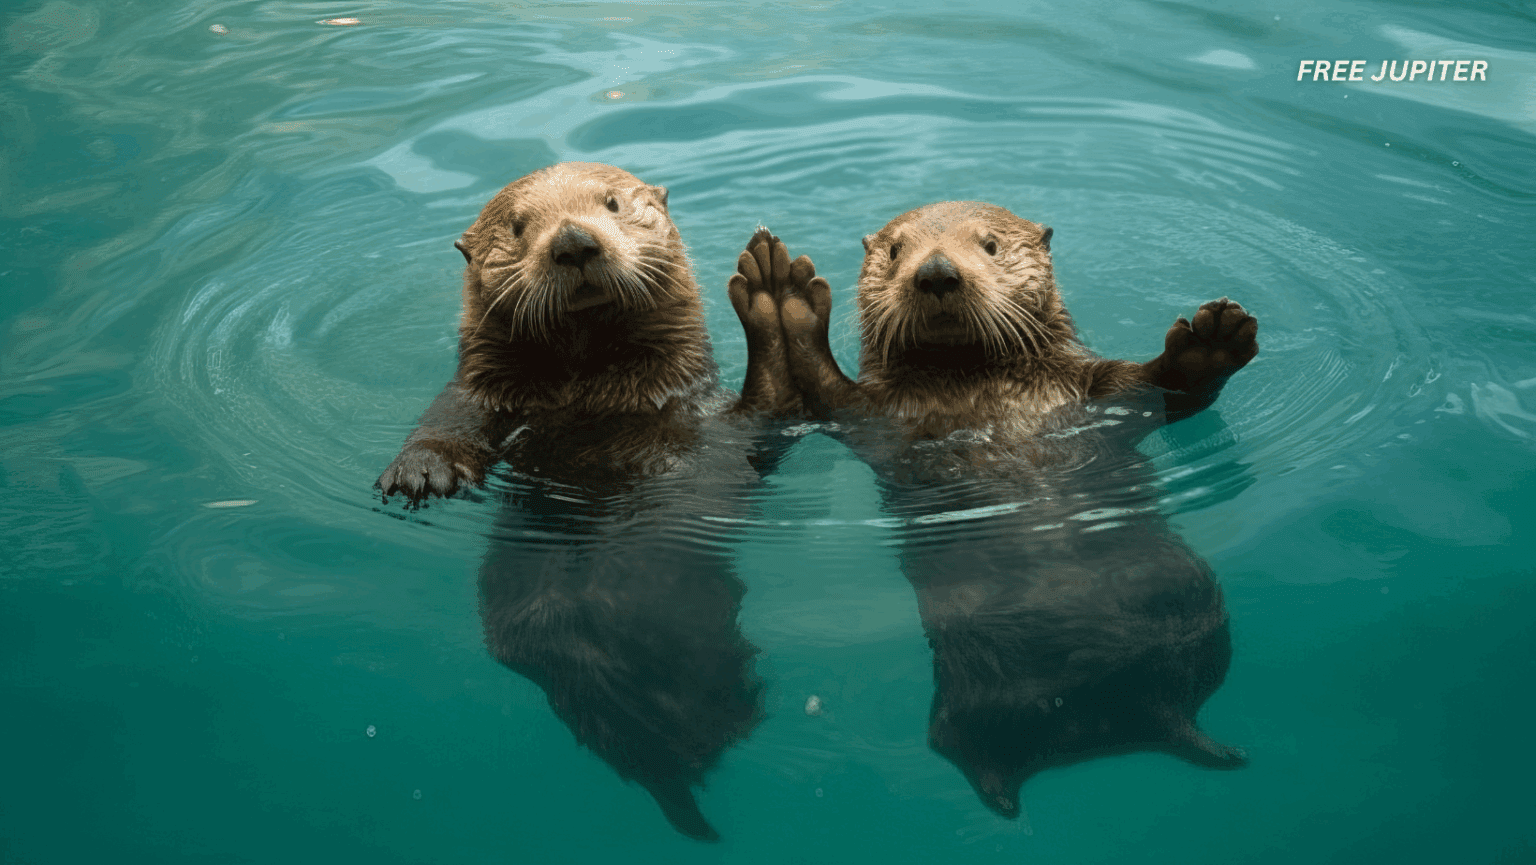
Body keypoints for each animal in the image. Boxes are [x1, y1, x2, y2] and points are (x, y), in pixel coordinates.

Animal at [376, 165, 791, 841]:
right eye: (520, 226)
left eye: (612, 204)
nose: (573, 241)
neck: (591, 392)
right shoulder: (480, 395)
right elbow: (448, 422)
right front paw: (420, 472)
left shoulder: (693, 413)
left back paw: (775, 300)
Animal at [728, 205, 1255, 817]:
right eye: (896, 251)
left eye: (990, 245)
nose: (936, 272)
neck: (979, 393)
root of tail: (1111, 727)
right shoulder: (878, 422)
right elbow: (828, 391)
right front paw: (789, 298)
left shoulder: (1098, 394)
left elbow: (1168, 393)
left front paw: (1211, 342)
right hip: (967, 708)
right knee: (966, 744)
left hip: (1201, 621)